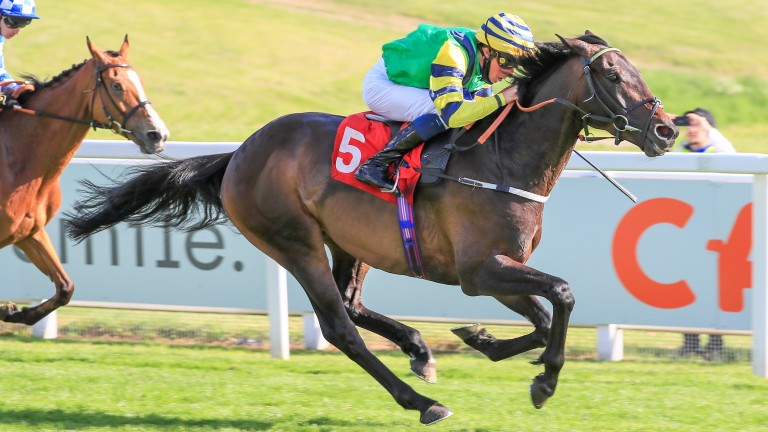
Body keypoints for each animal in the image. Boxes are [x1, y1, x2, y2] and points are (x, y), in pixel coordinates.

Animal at [0, 36, 169, 326]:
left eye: (141, 81)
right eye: (116, 85)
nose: (157, 135)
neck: (18, 158)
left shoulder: (29, 232)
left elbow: (65, 288)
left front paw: (14, 312)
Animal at [65, 33, 677, 424]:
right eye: (613, 74)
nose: (668, 130)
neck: (503, 160)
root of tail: (239, 153)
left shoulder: (502, 269)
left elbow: (545, 315)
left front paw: (481, 341)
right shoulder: (480, 271)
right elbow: (564, 294)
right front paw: (544, 380)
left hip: (346, 242)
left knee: (353, 305)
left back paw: (419, 350)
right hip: (294, 241)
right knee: (340, 327)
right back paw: (421, 402)